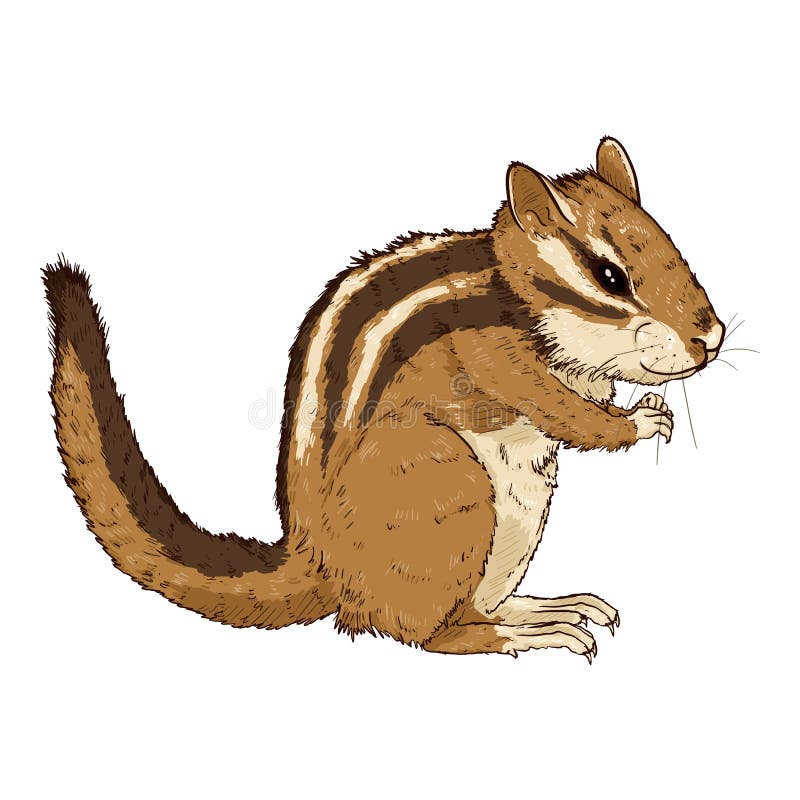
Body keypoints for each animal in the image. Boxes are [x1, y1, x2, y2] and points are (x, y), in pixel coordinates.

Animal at [44, 137, 724, 660]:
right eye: (611, 276)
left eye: (670, 243)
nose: (711, 337)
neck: (516, 290)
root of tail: (322, 561)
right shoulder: (497, 357)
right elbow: (570, 415)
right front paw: (640, 422)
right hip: (446, 481)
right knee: (427, 633)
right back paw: (528, 634)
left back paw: (543, 609)